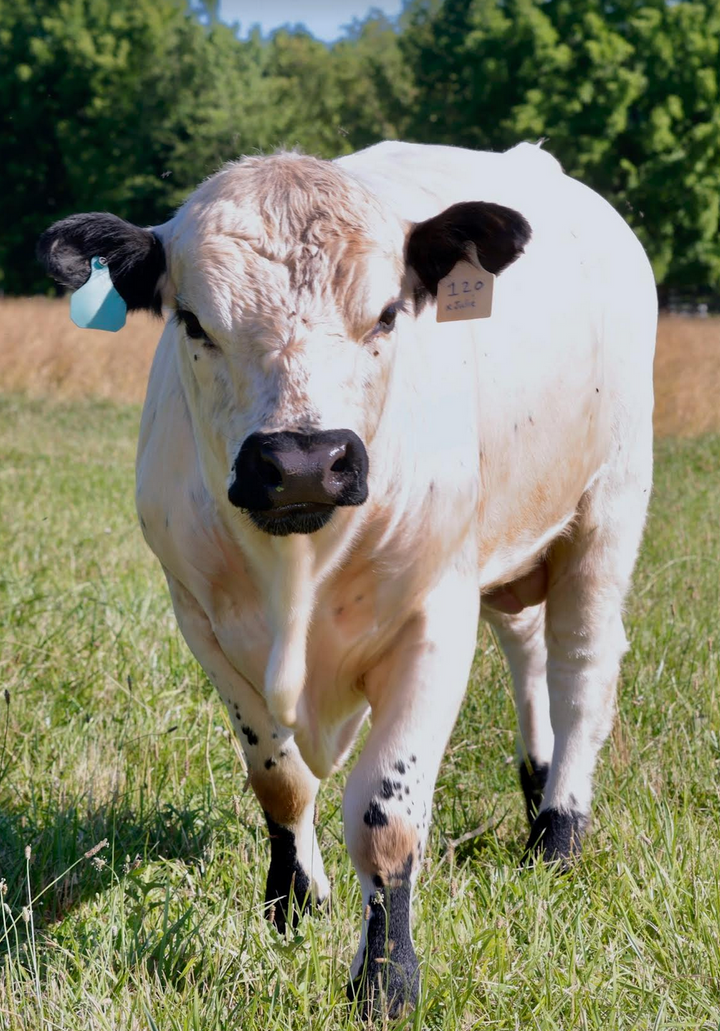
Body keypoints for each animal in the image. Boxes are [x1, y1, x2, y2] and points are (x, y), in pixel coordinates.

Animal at [38, 140, 656, 1017]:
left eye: (389, 314)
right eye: (194, 322)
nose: (302, 461)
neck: (294, 576)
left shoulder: (435, 618)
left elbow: (384, 816)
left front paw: (387, 979)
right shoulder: (202, 622)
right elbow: (280, 781)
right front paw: (293, 902)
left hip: (608, 505)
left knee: (582, 669)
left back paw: (560, 829)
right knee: (528, 646)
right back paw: (536, 790)